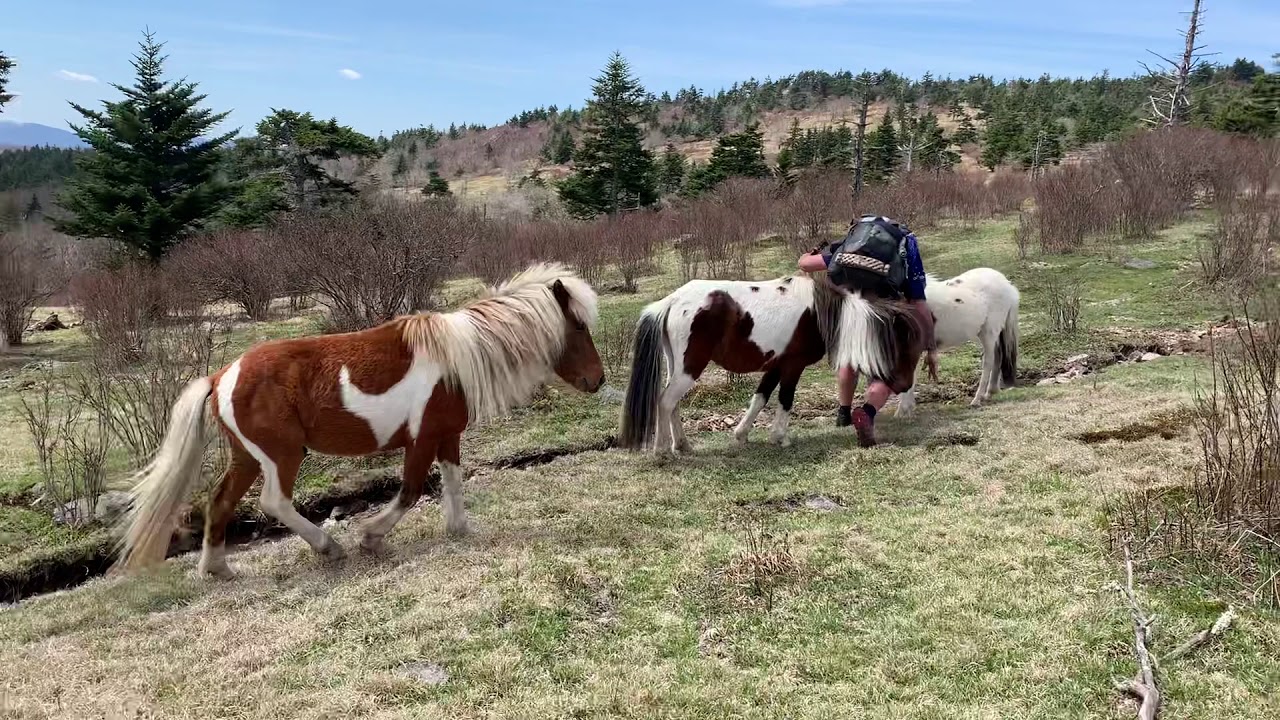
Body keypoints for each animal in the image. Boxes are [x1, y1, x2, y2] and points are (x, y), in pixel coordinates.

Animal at [114, 262, 604, 579]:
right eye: (579, 326)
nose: (599, 380)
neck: (457, 357)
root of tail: (221, 375)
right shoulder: (421, 439)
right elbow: (409, 491)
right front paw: (371, 537)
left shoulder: (446, 436)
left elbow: (453, 481)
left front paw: (459, 529)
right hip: (281, 455)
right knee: (274, 502)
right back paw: (328, 547)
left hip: (247, 457)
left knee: (219, 503)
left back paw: (217, 568)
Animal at [618, 274, 926, 456]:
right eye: (905, 347)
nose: (906, 386)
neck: (817, 313)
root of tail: (671, 301)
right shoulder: (792, 366)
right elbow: (785, 399)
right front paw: (780, 437)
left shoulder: (775, 365)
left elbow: (760, 398)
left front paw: (741, 434)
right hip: (689, 368)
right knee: (665, 401)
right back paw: (662, 451)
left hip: (678, 368)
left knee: (672, 404)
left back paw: (682, 445)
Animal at [895, 267, 1020, 418]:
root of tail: (1008, 285)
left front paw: (902, 411)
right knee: (997, 357)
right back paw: (990, 392)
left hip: (988, 333)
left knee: (989, 362)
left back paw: (977, 399)